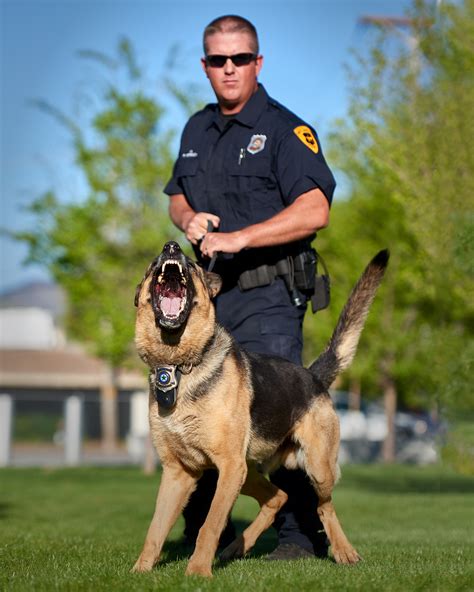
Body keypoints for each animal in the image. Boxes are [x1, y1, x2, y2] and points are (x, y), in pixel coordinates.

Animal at [131, 242, 386, 580]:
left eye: (193, 266)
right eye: (151, 266)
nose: (171, 246)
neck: (178, 365)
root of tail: (313, 376)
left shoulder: (227, 466)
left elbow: (209, 525)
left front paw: (198, 571)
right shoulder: (179, 473)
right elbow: (155, 530)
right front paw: (140, 570)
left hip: (314, 469)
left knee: (323, 506)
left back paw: (344, 551)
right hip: (246, 473)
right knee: (279, 497)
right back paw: (236, 548)